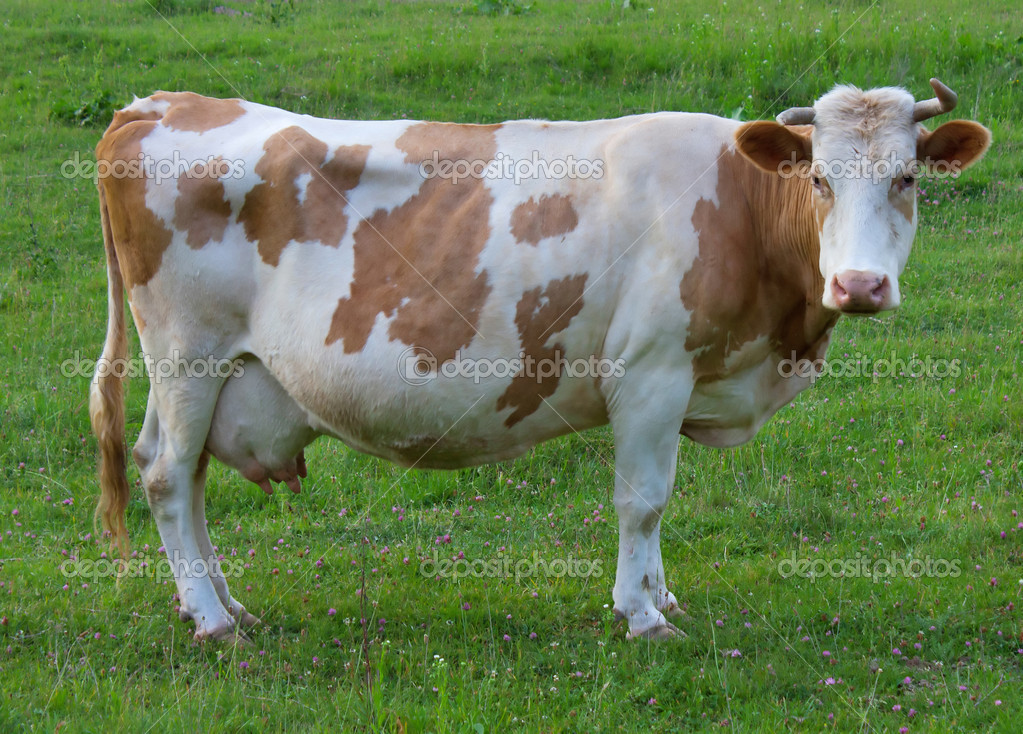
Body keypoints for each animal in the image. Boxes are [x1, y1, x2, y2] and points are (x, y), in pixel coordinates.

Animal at [90, 79, 990, 642]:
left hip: (203, 370)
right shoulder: (650, 373)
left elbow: (655, 506)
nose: (859, 284)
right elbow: (642, 501)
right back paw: (211, 619)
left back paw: (220, 603)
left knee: (175, 471)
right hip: (188, 351)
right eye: (818, 178)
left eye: (907, 177)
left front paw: (661, 593)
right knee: (168, 475)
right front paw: (641, 613)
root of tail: (160, 103)